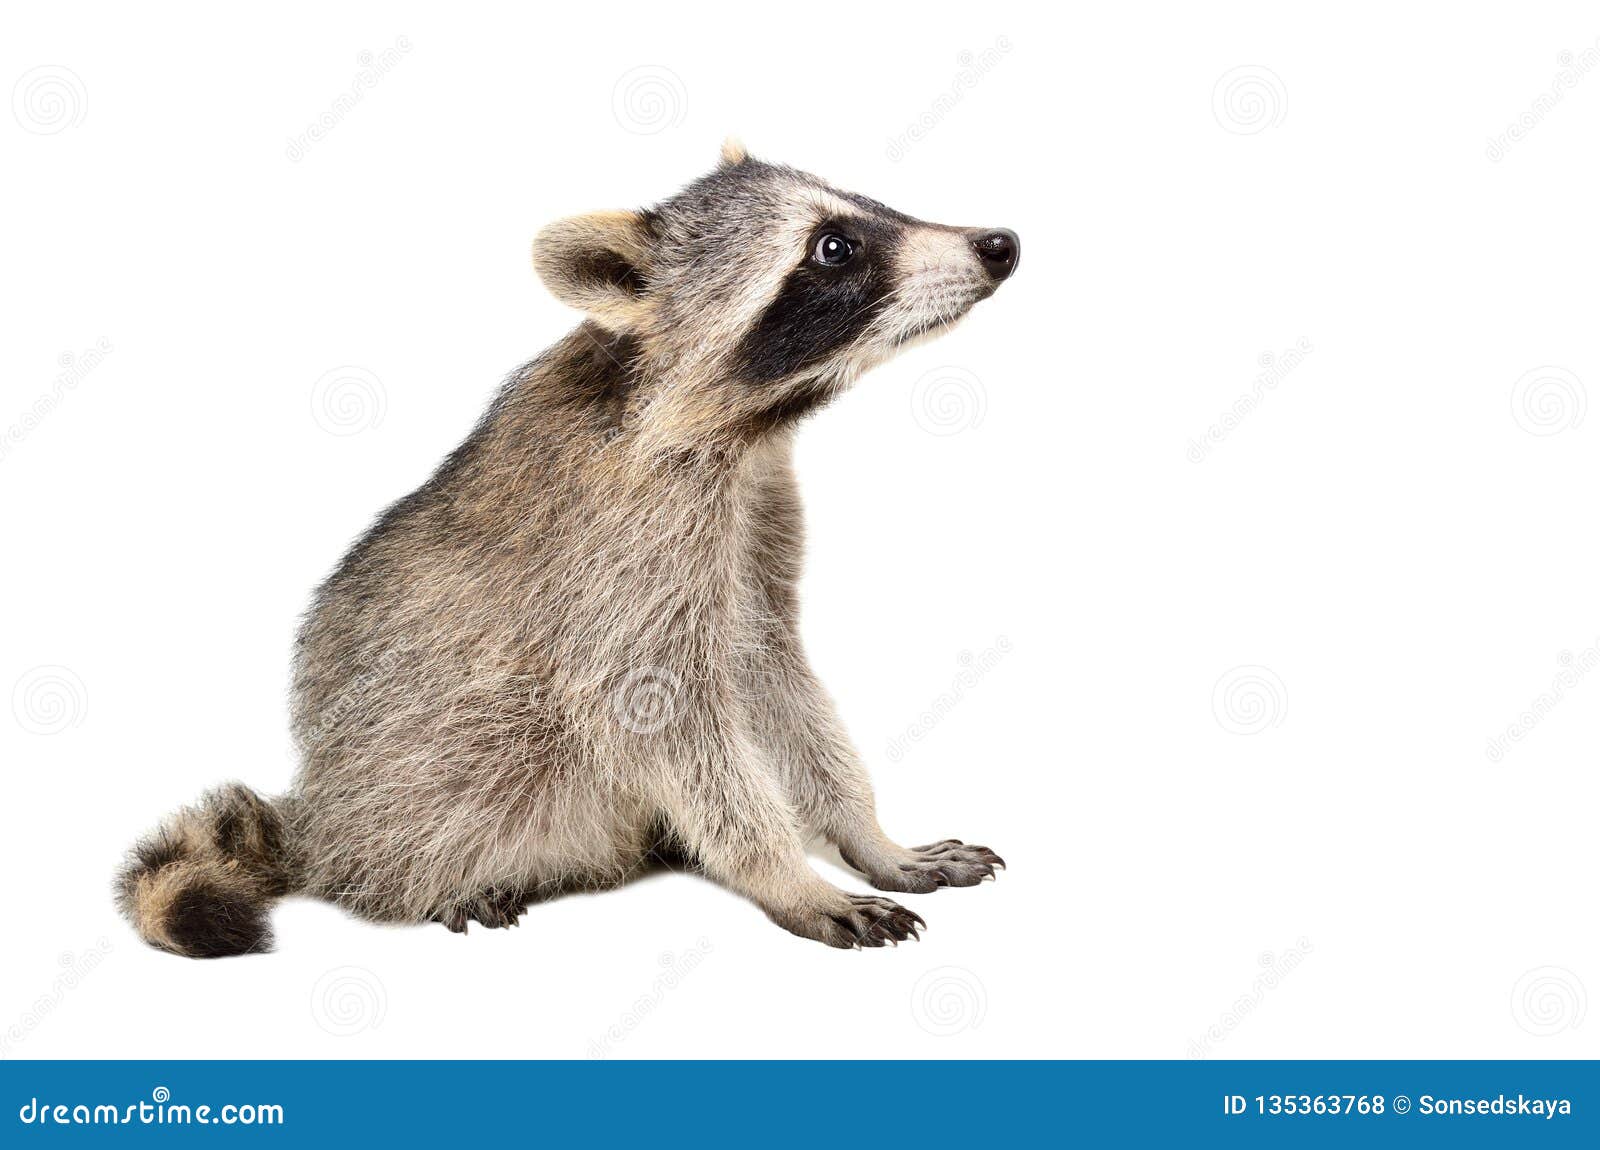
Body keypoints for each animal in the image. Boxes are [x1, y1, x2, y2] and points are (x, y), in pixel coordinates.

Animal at [117, 141, 1019, 956]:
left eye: (865, 203)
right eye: (834, 248)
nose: (999, 244)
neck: (737, 425)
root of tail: (317, 822)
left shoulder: (755, 517)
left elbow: (772, 673)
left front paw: (867, 834)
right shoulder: (628, 549)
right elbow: (661, 713)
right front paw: (786, 874)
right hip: (432, 781)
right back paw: (432, 881)